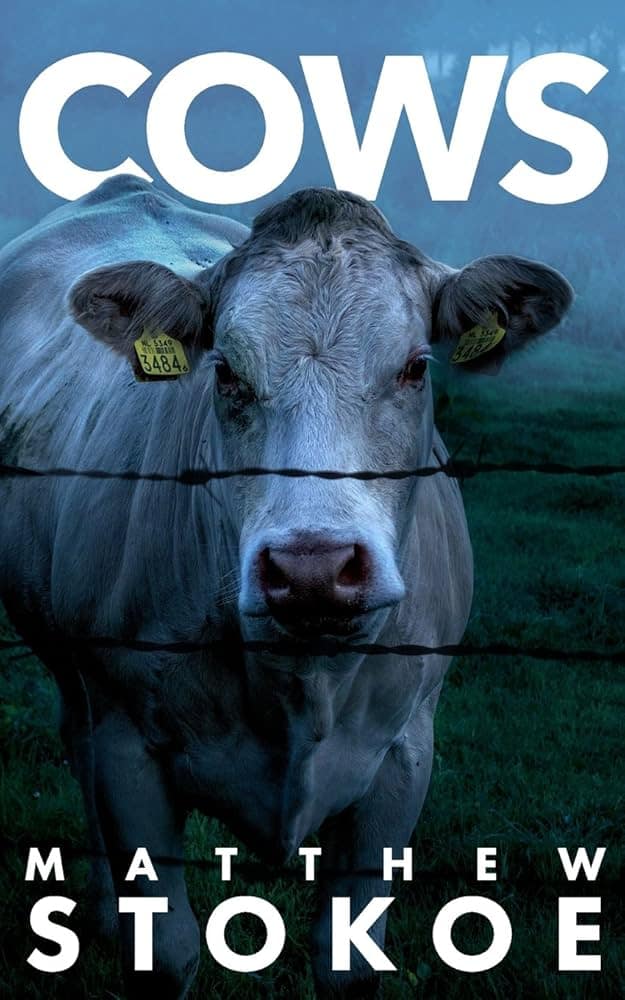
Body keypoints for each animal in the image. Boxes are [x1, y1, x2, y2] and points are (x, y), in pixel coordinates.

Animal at [0, 176, 572, 998]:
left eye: (415, 367)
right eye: (225, 372)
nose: (313, 568)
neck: (299, 679)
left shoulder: (404, 755)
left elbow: (347, 963)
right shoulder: (129, 749)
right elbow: (167, 951)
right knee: (77, 743)